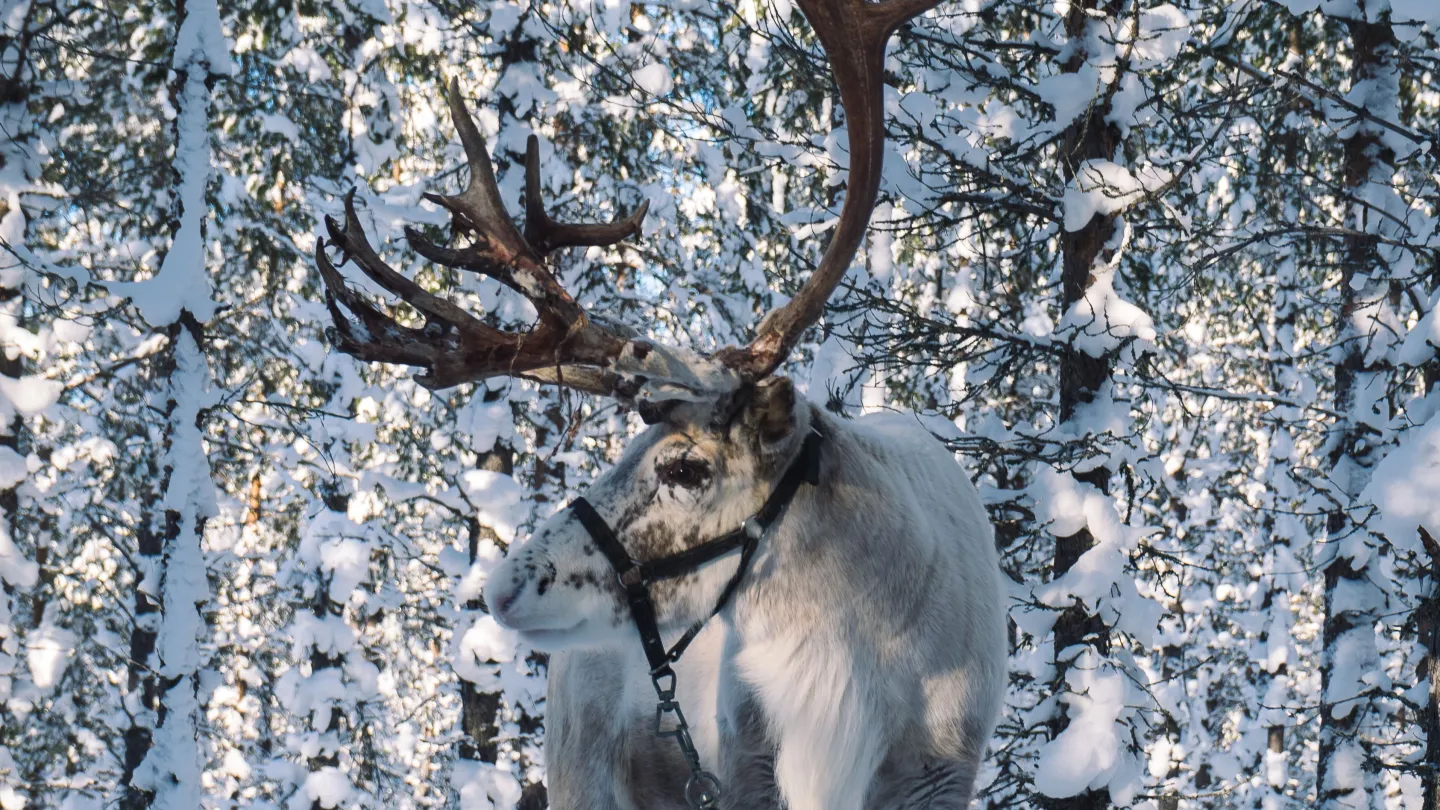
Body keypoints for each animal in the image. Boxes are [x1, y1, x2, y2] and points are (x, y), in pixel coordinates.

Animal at [311, 0, 1006, 807]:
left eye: (686, 469)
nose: (503, 589)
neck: (861, 645)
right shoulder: (747, 760)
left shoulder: (940, 771)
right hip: (583, 770)